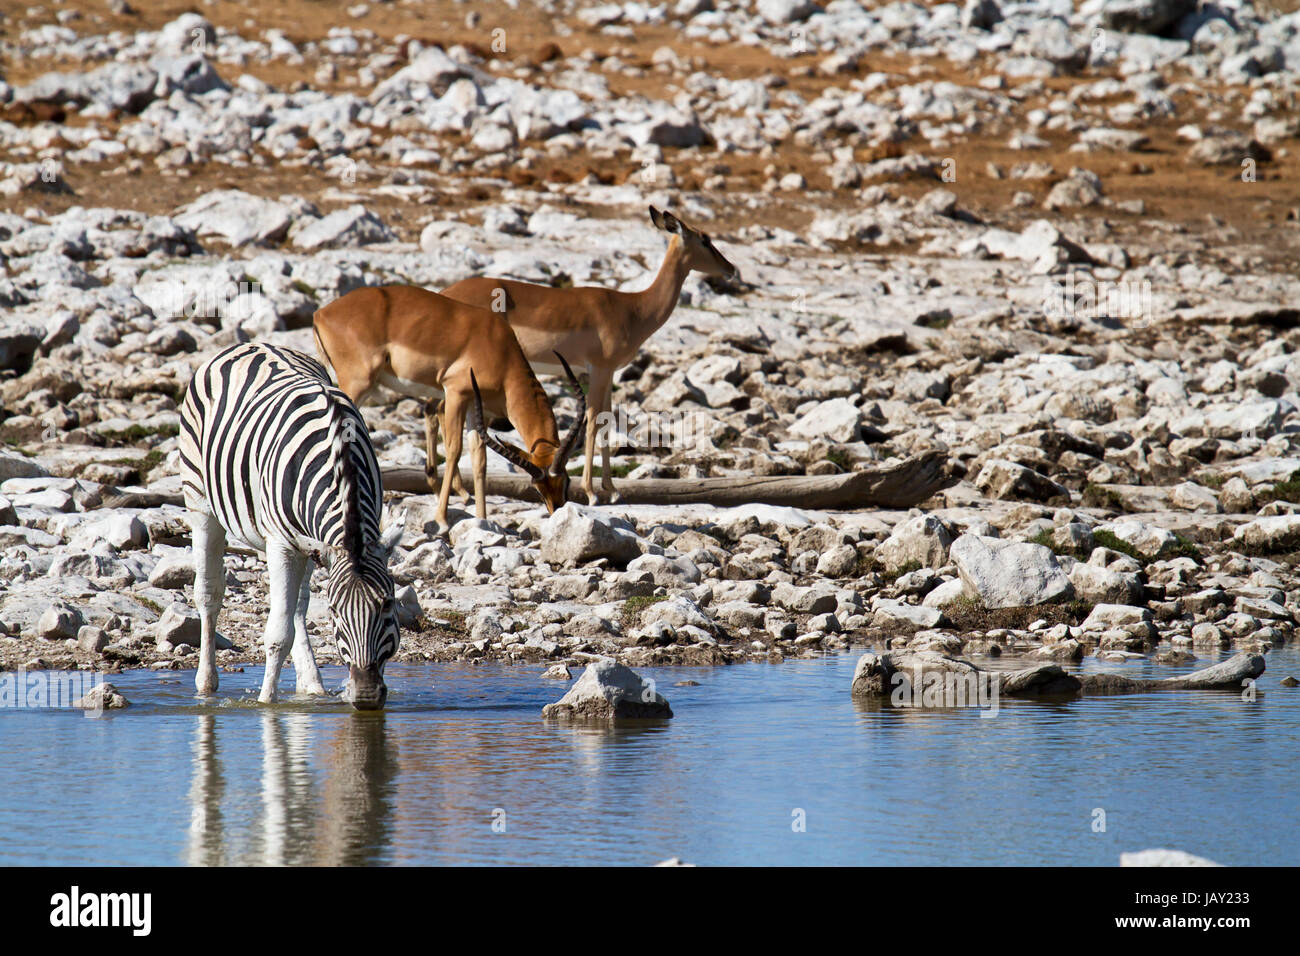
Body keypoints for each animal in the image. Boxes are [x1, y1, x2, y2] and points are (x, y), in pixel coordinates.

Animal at [178, 342, 402, 710]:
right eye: (336, 612)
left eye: (387, 604)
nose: (367, 697)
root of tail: (250, 343)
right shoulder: (282, 544)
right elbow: (277, 634)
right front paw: (267, 702)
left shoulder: (314, 542)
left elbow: (293, 616)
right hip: (200, 500)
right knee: (209, 592)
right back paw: (206, 684)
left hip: (308, 546)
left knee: (298, 604)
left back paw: (311, 684)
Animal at [311, 286, 586, 529]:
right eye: (537, 488)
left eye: (566, 480)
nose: (557, 510)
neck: (499, 349)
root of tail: (321, 313)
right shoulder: (455, 393)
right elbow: (454, 450)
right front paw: (441, 520)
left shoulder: (478, 407)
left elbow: (479, 458)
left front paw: (482, 519)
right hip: (357, 385)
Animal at [439, 205, 739, 504]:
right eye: (705, 239)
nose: (731, 269)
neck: (634, 309)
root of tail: (444, 293)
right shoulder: (599, 370)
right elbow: (594, 422)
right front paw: (592, 492)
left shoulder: (609, 373)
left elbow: (607, 420)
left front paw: (613, 490)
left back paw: (460, 490)